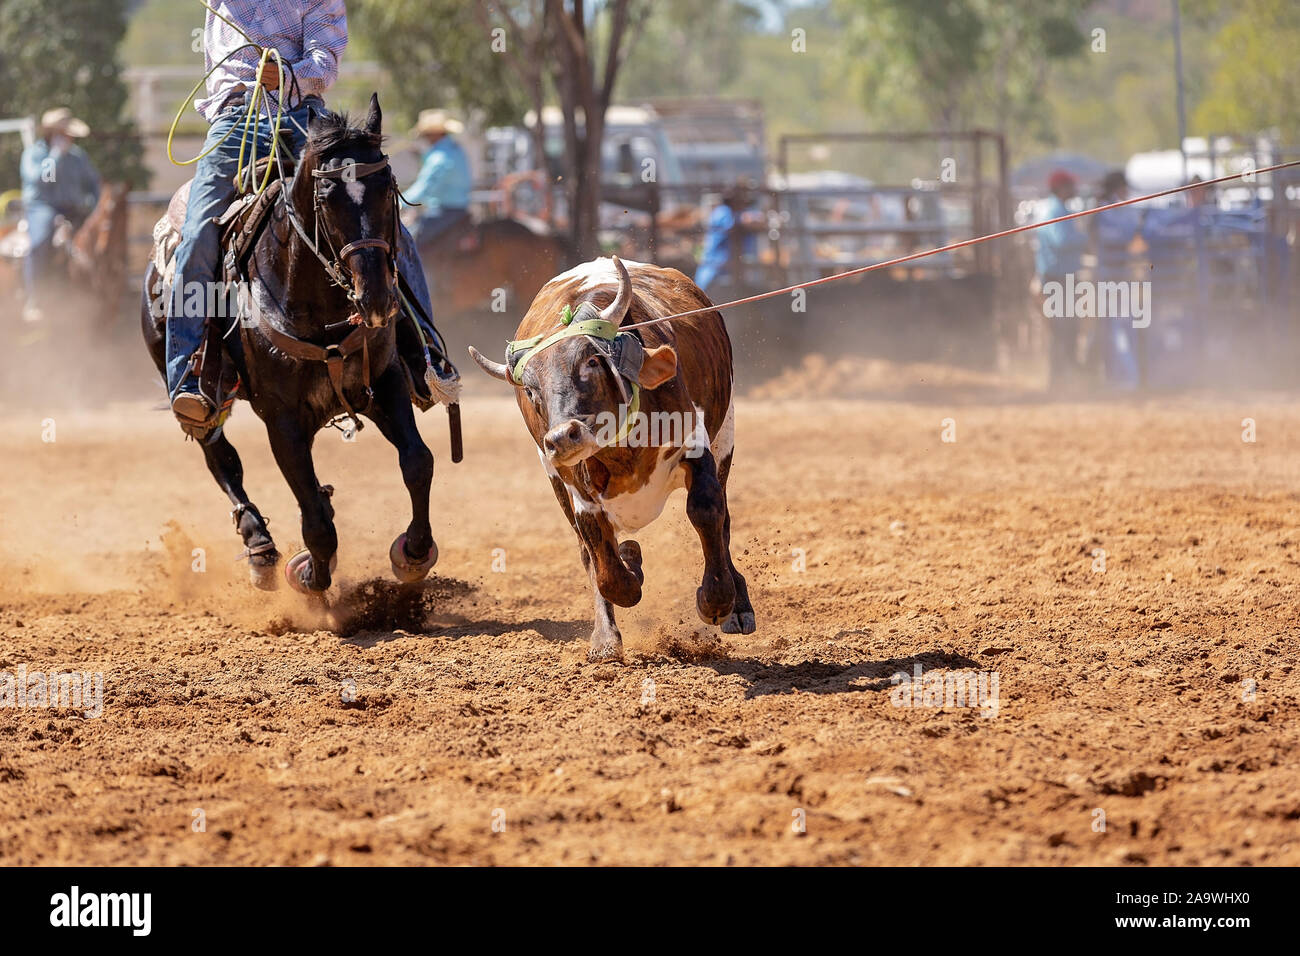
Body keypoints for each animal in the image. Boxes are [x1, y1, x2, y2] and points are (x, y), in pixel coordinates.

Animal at [468, 256, 756, 661]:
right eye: (531, 389)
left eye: (591, 360)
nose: (562, 437)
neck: (621, 452)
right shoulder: (576, 488)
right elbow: (604, 561)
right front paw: (630, 564)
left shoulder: (697, 445)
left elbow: (706, 509)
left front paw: (716, 601)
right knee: (589, 551)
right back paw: (605, 635)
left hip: (724, 440)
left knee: (724, 520)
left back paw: (738, 607)